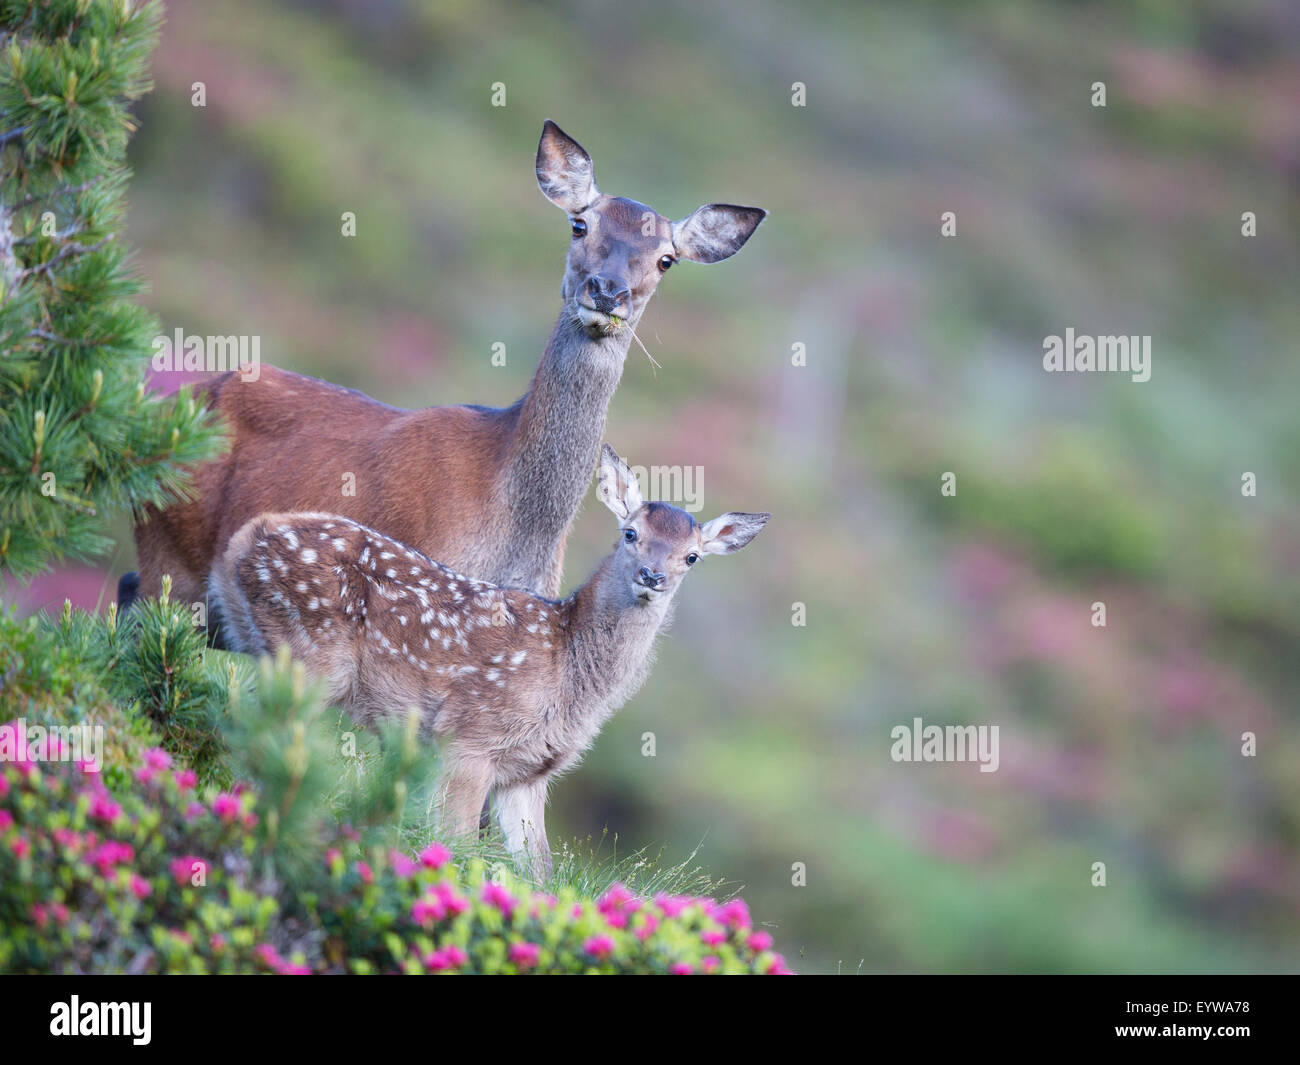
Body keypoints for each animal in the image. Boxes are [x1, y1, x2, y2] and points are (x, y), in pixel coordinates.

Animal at [207, 445, 769, 878]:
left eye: (691, 556)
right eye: (630, 533)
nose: (653, 575)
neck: (569, 672)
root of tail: (245, 539)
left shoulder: (529, 772)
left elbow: (539, 869)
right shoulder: (469, 735)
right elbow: (455, 843)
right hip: (310, 651)